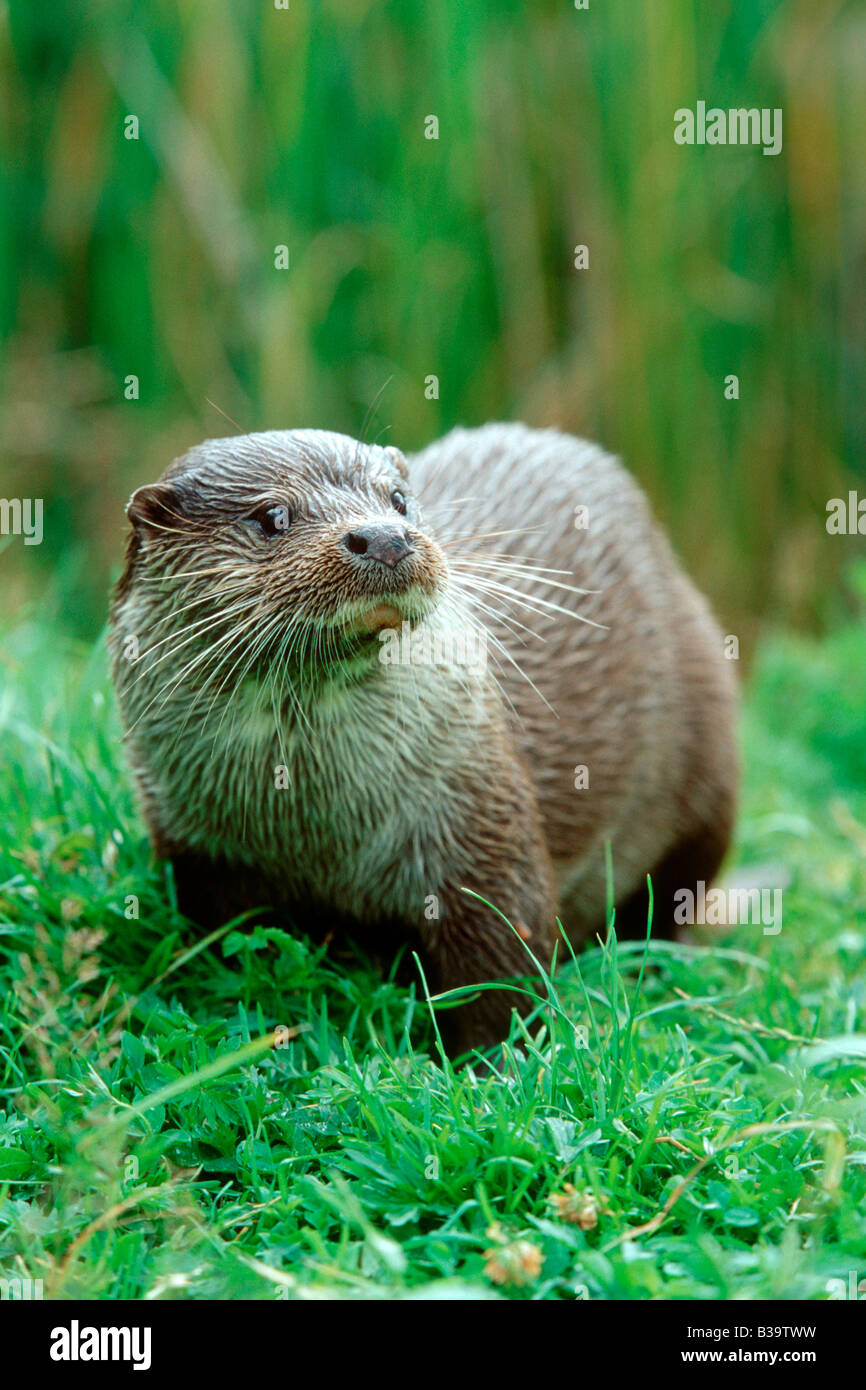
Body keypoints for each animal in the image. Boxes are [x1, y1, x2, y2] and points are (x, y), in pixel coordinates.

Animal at [108, 424, 737, 1056]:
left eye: (398, 500)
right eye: (272, 515)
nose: (386, 537)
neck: (320, 830)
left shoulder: (481, 822)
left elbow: (503, 970)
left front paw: (490, 1065)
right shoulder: (196, 848)